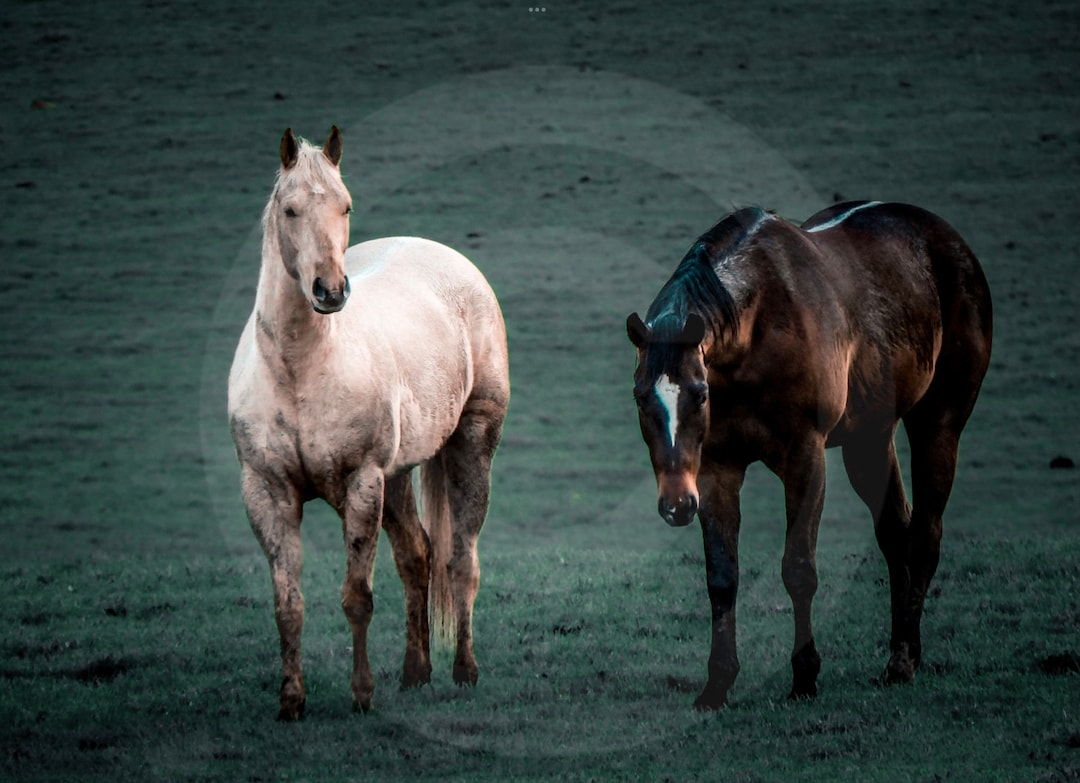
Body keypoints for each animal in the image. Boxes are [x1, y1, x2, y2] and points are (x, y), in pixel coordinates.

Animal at [228, 127, 510, 720]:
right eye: (289, 209)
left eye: (345, 206)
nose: (330, 291)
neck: (301, 369)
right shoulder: (266, 492)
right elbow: (288, 604)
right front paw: (291, 701)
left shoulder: (360, 484)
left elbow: (357, 597)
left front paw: (361, 695)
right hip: (397, 478)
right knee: (416, 557)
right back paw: (415, 673)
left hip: (470, 445)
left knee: (460, 559)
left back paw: (464, 671)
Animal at [626, 201, 992, 710]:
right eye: (641, 397)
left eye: (699, 395)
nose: (677, 505)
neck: (756, 330)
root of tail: (949, 240)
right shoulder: (717, 470)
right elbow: (722, 577)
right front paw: (717, 685)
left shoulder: (805, 458)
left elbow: (798, 569)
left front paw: (805, 676)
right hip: (869, 440)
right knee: (894, 534)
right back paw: (902, 651)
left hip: (938, 424)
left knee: (924, 535)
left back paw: (903, 661)